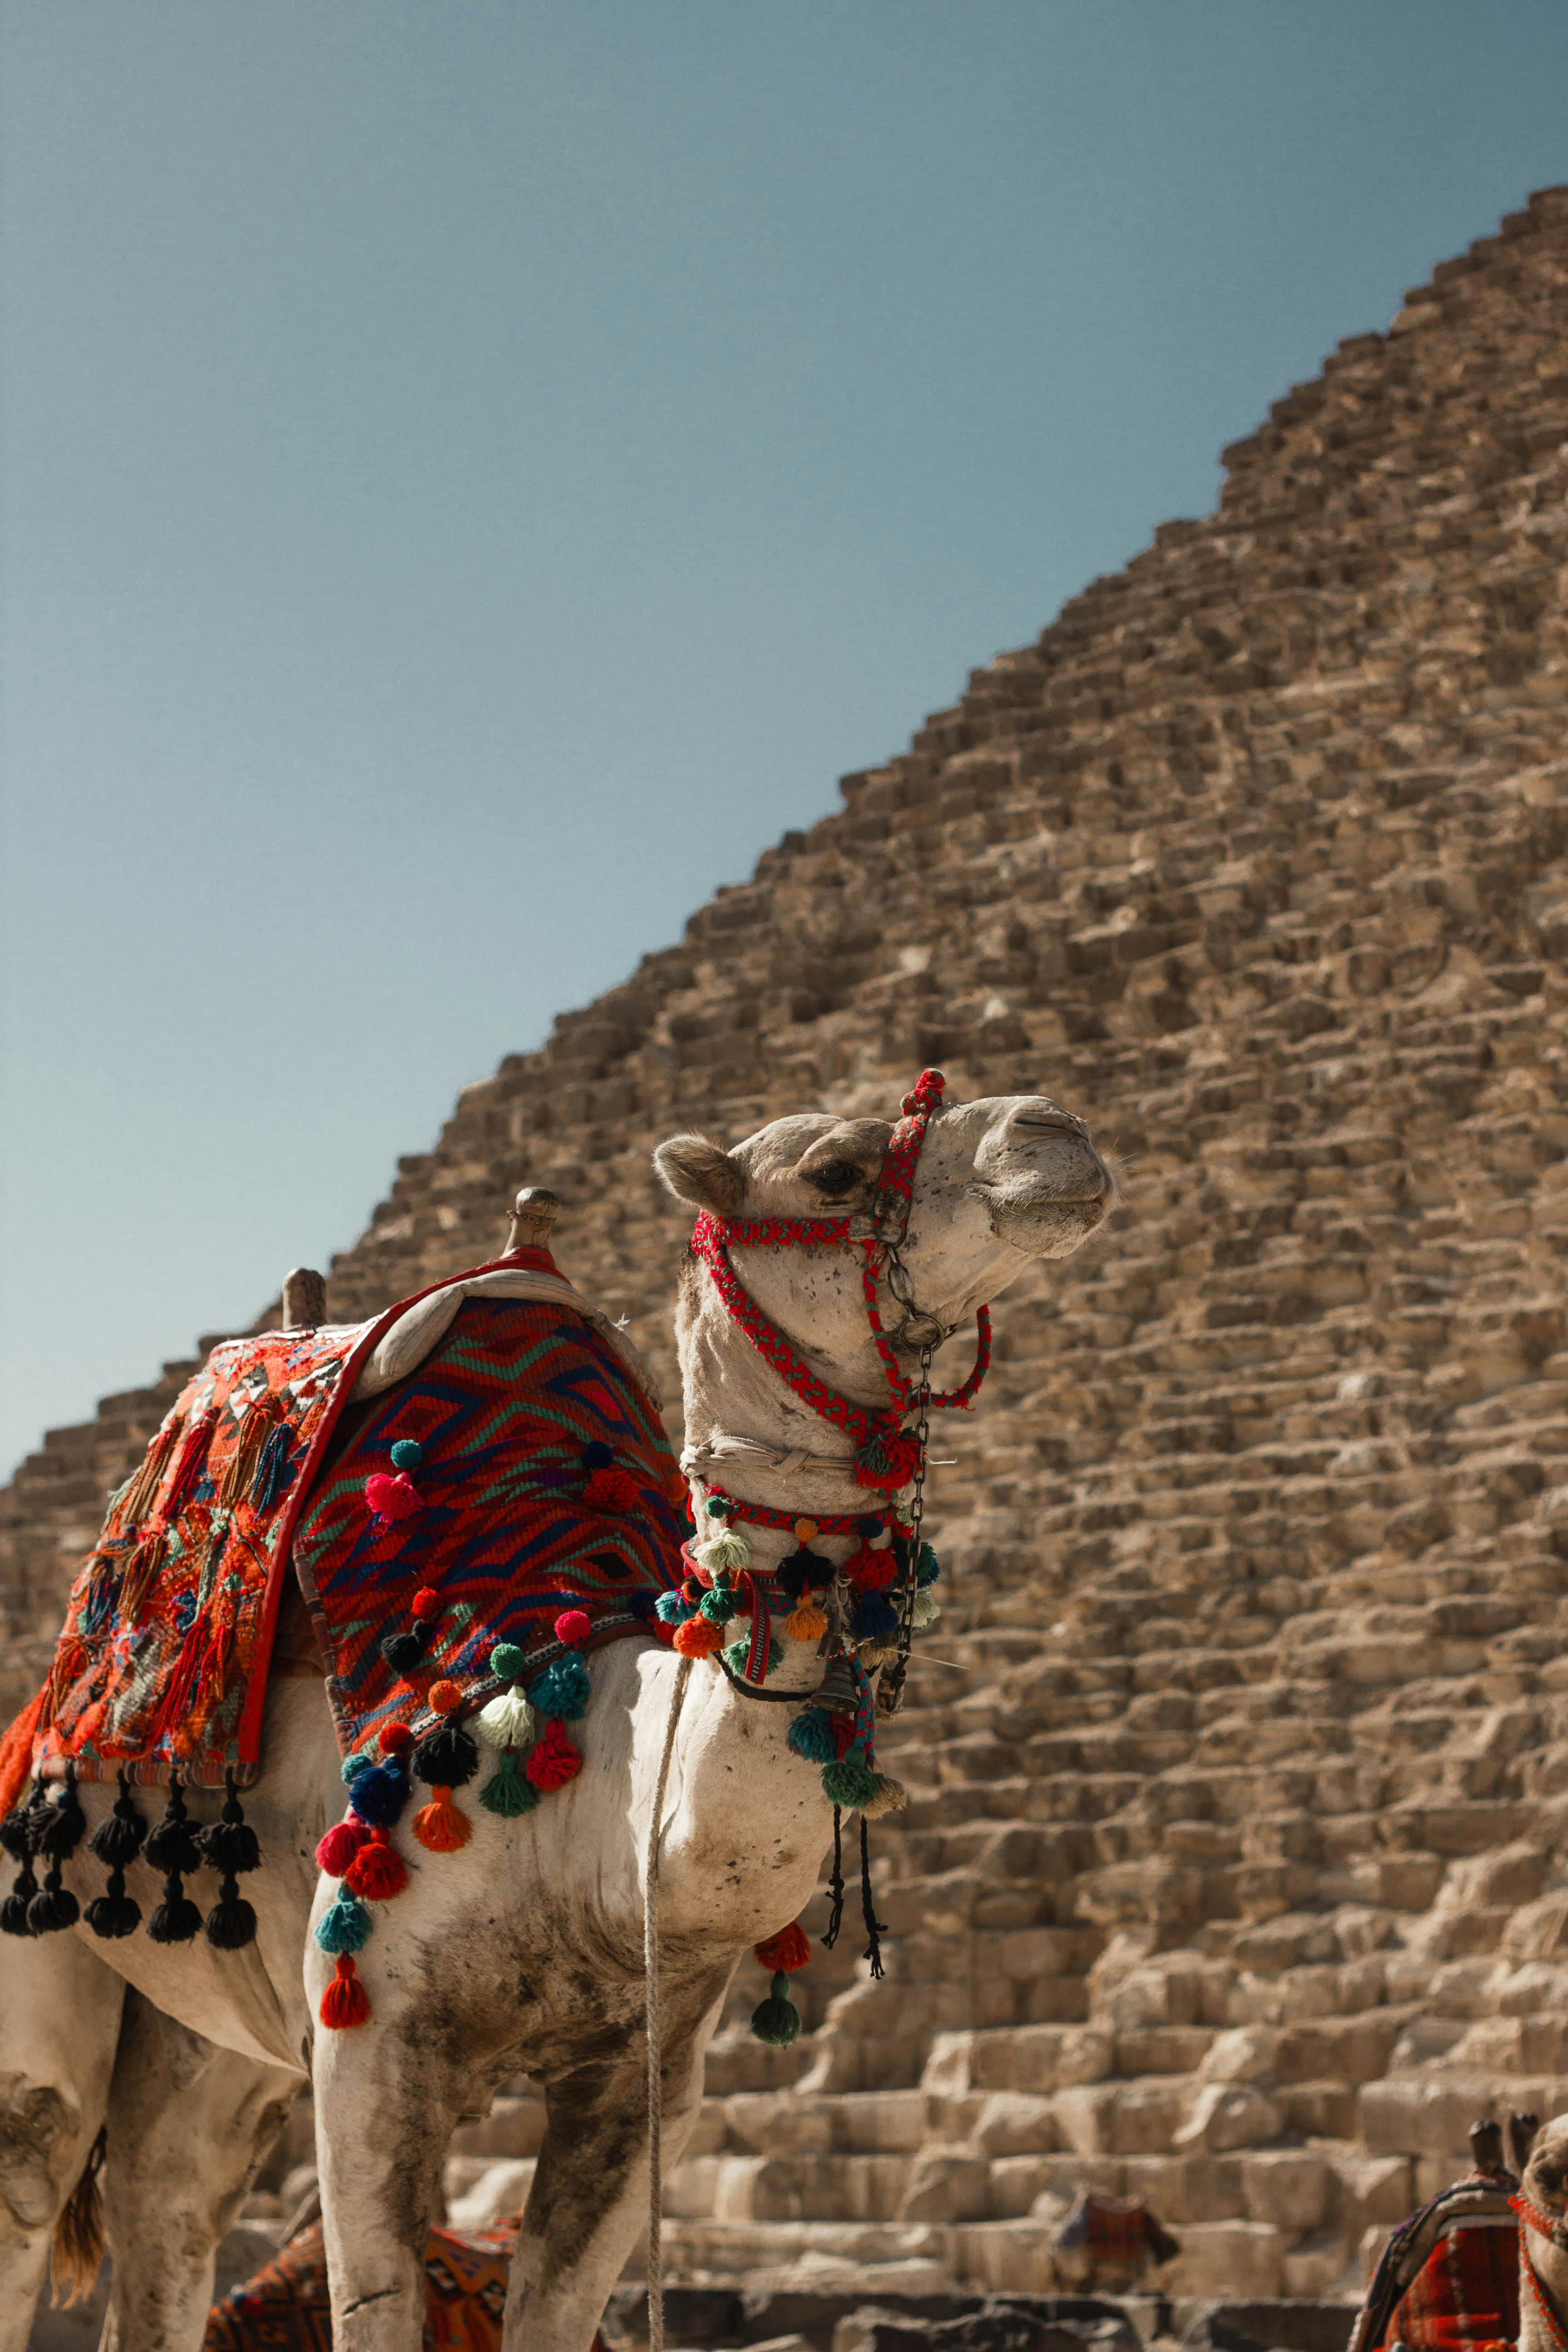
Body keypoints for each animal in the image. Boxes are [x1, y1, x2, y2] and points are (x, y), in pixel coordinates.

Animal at [0, 1081, 1114, 2352]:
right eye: (834, 1168)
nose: (1054, 1132)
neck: (596, 1797)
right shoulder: (368, 2037)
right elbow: (373, 2304)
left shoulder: (644, 2081)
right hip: (45, 1926)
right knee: (36, 2165)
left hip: (216, 2034)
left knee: (168, 2199)